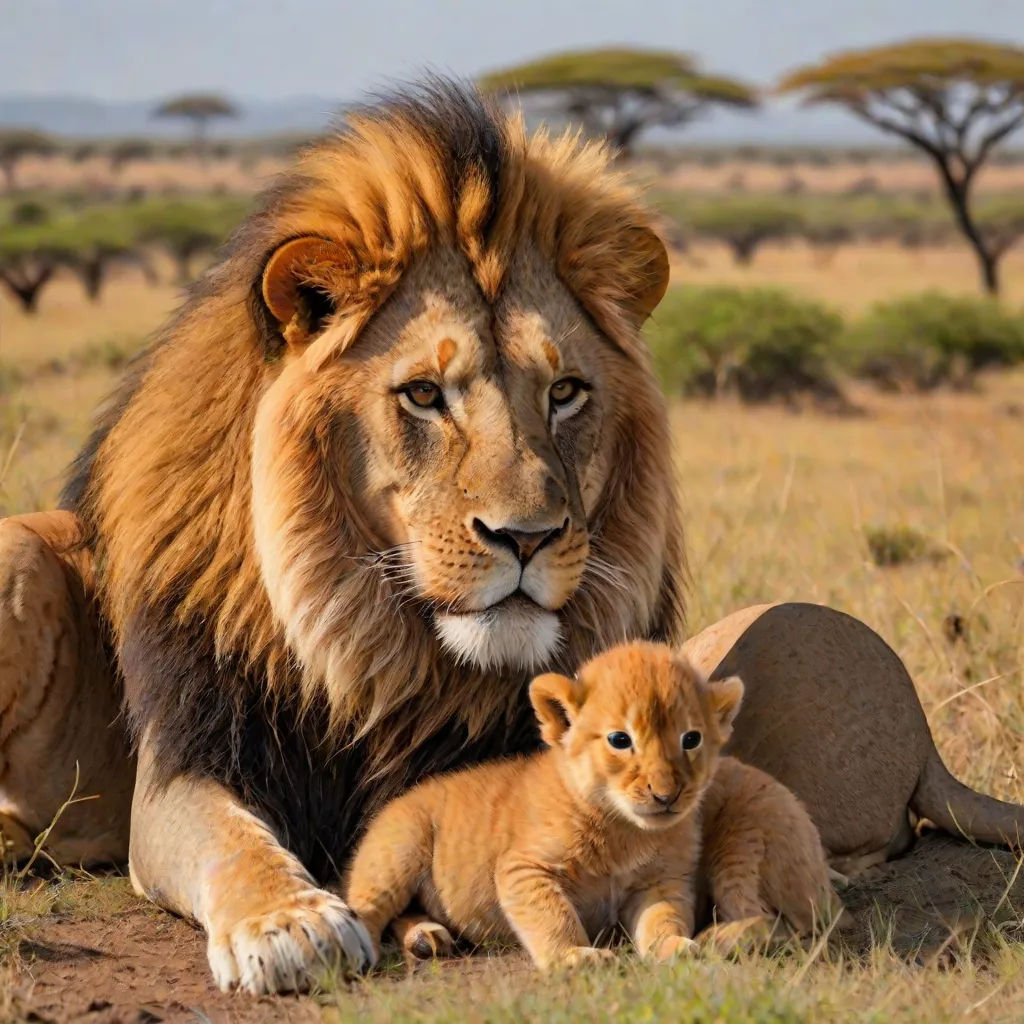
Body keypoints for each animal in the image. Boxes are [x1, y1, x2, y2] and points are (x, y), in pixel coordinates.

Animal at [347, 643, 743, 969]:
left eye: (691, 739)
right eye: (620, 739)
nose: (666, 795)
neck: (626, 831)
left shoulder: (661, 882)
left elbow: (664, 918)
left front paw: (676, 946)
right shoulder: (524, 868)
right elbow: (554, 914)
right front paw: (574, 955)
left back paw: (425, 938)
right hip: (398, 854)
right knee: (365, 906)